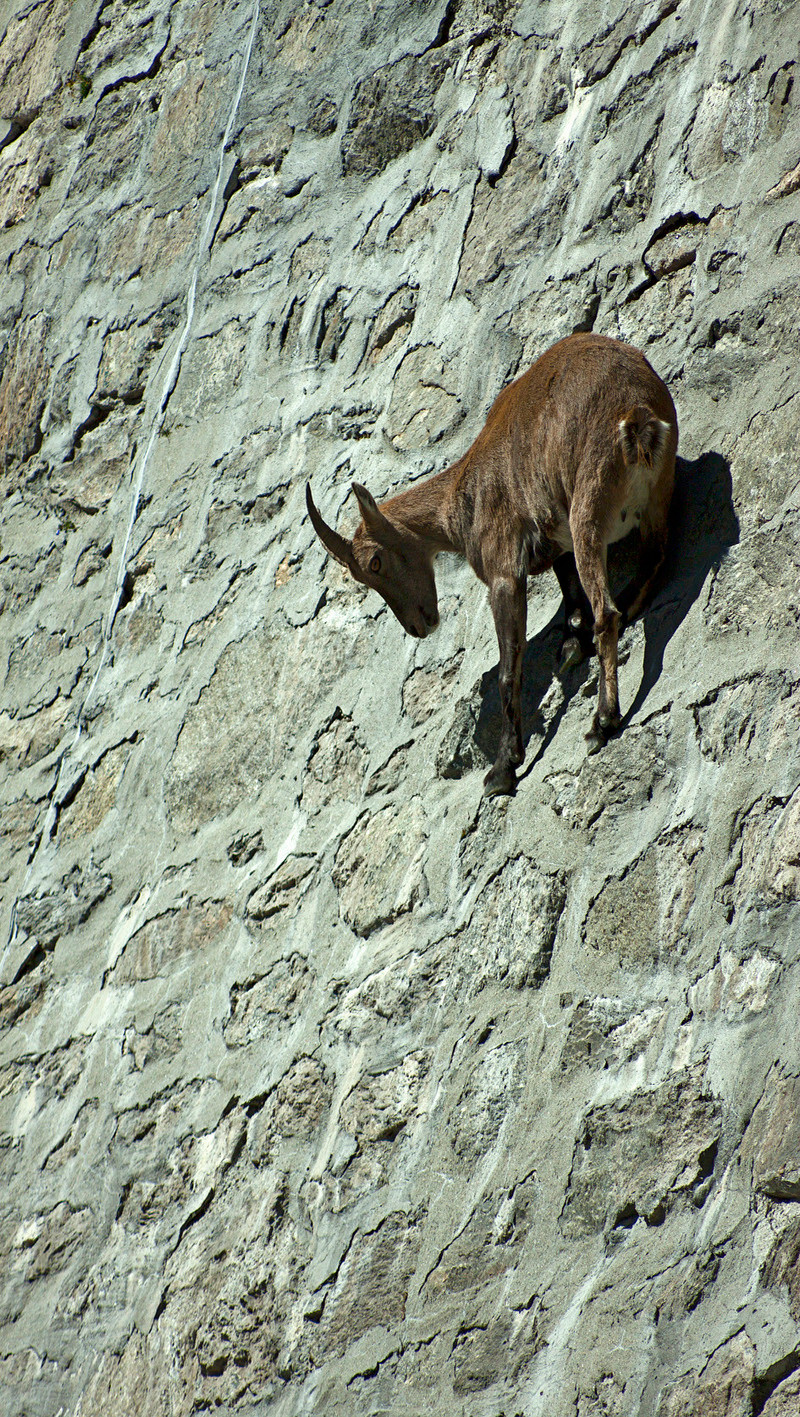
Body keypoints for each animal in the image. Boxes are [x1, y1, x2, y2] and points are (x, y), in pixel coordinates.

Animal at [306, 332, 678, 796]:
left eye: (375, 562)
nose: (418, 626)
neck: (462, 495)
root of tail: (636, 414)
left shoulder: (504, 573)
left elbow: (508, 669)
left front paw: (503, 768)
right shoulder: (554, 539)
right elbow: (570, 597)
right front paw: (571, 648)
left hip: (587, 508)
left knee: (605, 613)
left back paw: (602, 722)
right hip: (653, 500)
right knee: (654, 561)